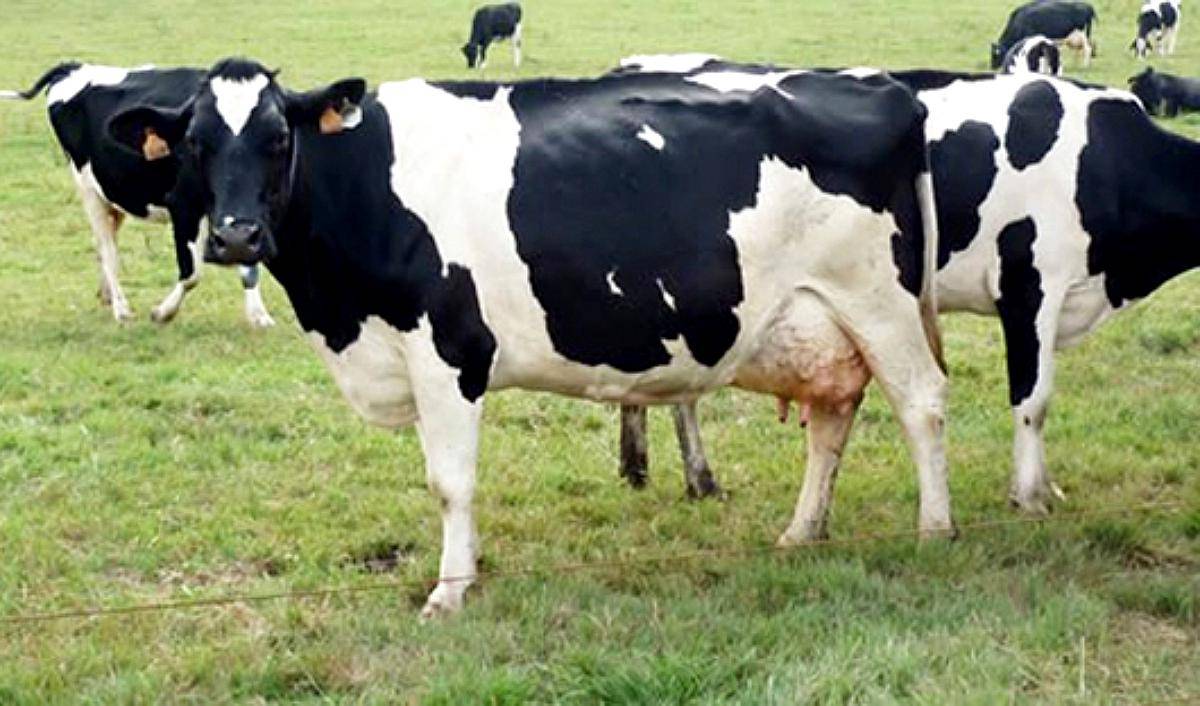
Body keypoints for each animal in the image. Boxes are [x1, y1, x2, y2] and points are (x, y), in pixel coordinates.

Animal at [0, 63, 274, 327]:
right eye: (200, 140)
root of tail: (72, 67)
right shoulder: (183, 205)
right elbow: (192, 273)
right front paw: (162, 313)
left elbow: (247, 259)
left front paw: (259, 316)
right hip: (88, 187)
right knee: (107, 248)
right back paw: (121, 309)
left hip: (115, 191)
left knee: (105, 240)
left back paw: (107, 296)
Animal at [104, 57, 952, 616]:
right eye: (194, 143)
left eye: (280, 137)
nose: (236, 236)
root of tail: (878, 86)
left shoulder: (447, 351)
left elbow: (450, 483)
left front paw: (449, 590)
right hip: (820, 319)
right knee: (832, 416)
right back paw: (801, 533)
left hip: (879, 301)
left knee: (922, 405)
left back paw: (934, 531)